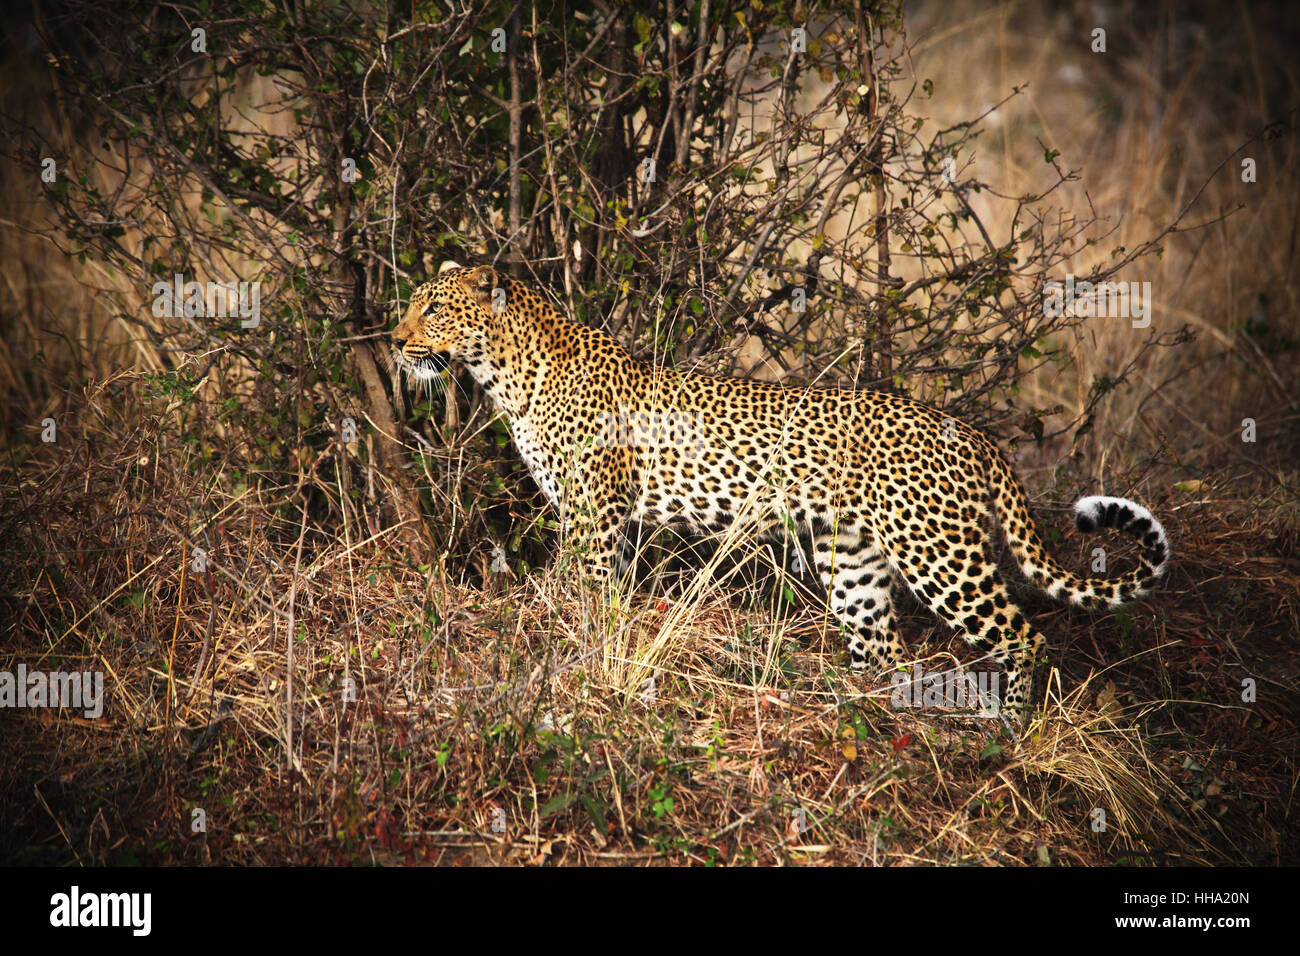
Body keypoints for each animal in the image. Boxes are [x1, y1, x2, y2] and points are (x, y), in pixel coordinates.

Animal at [392, 262, 1170, 722]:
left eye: (434, 310)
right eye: (412, 308)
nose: (396, 342)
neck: (504, 372)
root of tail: (974, 435)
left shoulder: (593, 516)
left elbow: (580, 594)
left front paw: (562, 656)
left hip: (938, 556)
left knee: (1022, 635)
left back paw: (1009, 728)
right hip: (850, 559)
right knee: (885, 649)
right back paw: (864, 709)